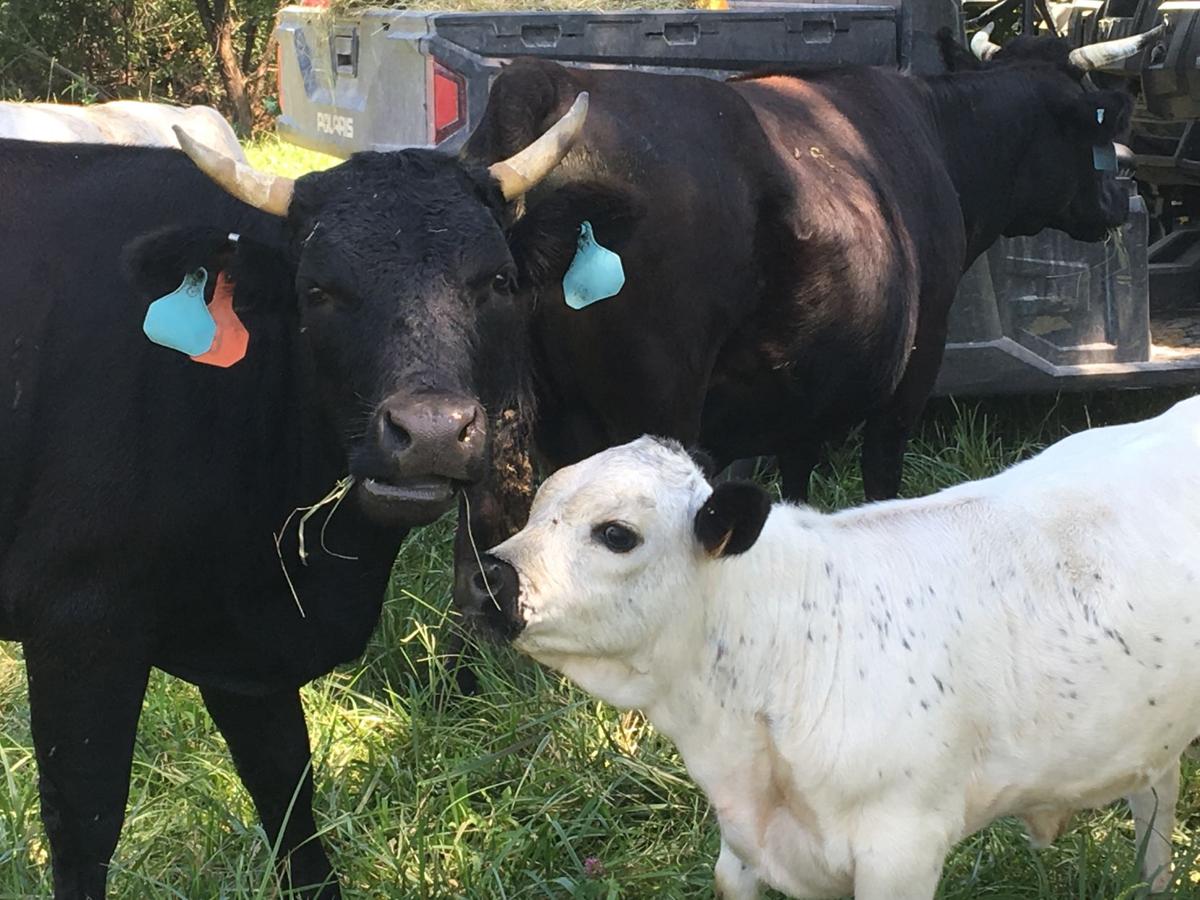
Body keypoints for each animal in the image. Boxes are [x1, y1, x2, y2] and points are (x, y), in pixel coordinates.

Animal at [0, 96, 586, 900]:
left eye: (497, 281)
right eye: (319, 290)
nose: (432, 432)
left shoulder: (248, 650)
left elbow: (286, 792)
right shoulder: (76, 624)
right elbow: (85, 823)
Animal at [449, 26, 1165, 619]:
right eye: (1095, 130)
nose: (1123, 193)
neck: (936, 139)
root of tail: (548, 79)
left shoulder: (803, 385)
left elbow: (796, 475)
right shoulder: (917, 361)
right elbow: (882, 475)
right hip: (651, 404)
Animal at [465, 401, 1200, 898]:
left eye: (616, 534)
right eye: (537, 505)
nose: (489, 577)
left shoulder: (902, 847)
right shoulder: (744, 847)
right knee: (1155, 806)